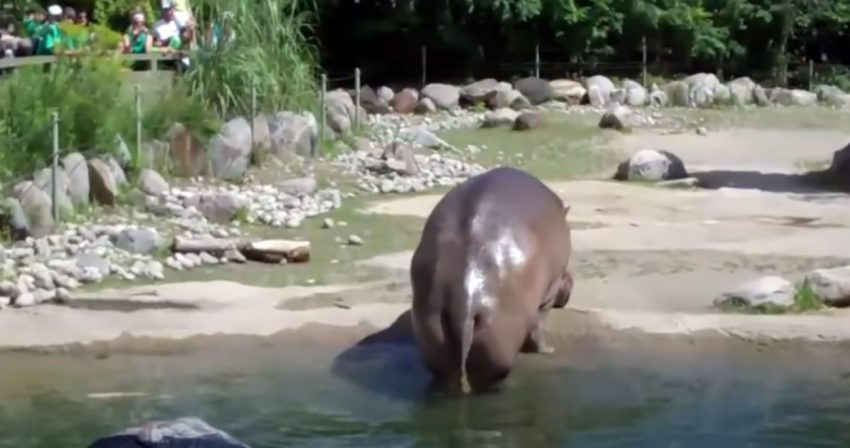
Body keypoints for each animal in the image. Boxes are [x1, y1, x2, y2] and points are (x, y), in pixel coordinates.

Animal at [410, 166, 573, 394]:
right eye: (568, 277)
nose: (571, 281)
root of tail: (465, 300)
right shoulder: (549, 293)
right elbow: (539, 325)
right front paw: (548, 350)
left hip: (433, 332)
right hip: (500, 348)